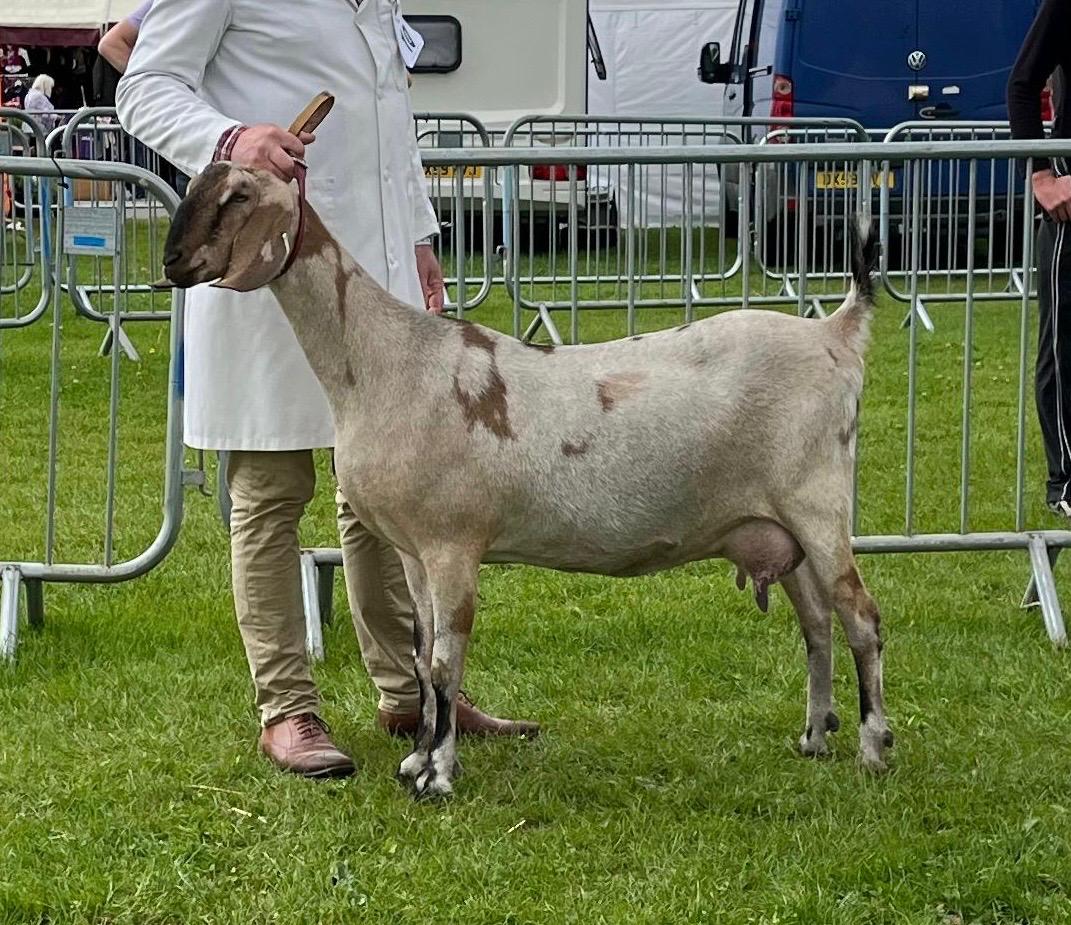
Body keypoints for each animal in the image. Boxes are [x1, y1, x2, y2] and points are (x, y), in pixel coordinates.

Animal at [163, 162, 890, 800]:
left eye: (236, 195)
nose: (173, 265)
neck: (382, 361)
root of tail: (836, 334)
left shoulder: (452, 542)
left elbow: (443, 660)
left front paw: (437, 777)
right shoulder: (413, 549)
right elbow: (422, 657)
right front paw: (417, 758)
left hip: (818, 502)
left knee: (860, 618)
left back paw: (872, 747)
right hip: (777, 526)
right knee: (817, 623)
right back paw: (813, 738)